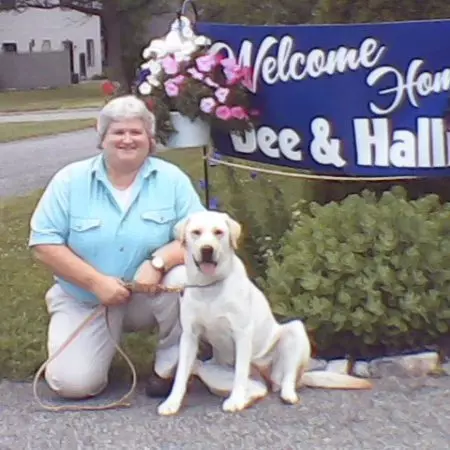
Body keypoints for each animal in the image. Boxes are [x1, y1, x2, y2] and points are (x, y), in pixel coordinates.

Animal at [156, 211, 370, 414]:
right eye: (196, 232)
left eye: (218, 232)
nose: (207, 249)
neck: (210, 287)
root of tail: (265, 376)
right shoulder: (189, 336)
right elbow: (181, 374)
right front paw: (172, 403)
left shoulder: (242, 333)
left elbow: (240, 372)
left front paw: (235, 401)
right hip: (209, 368)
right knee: (256, 389)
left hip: (294, 332)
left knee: (285, 380)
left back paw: (285, 395)